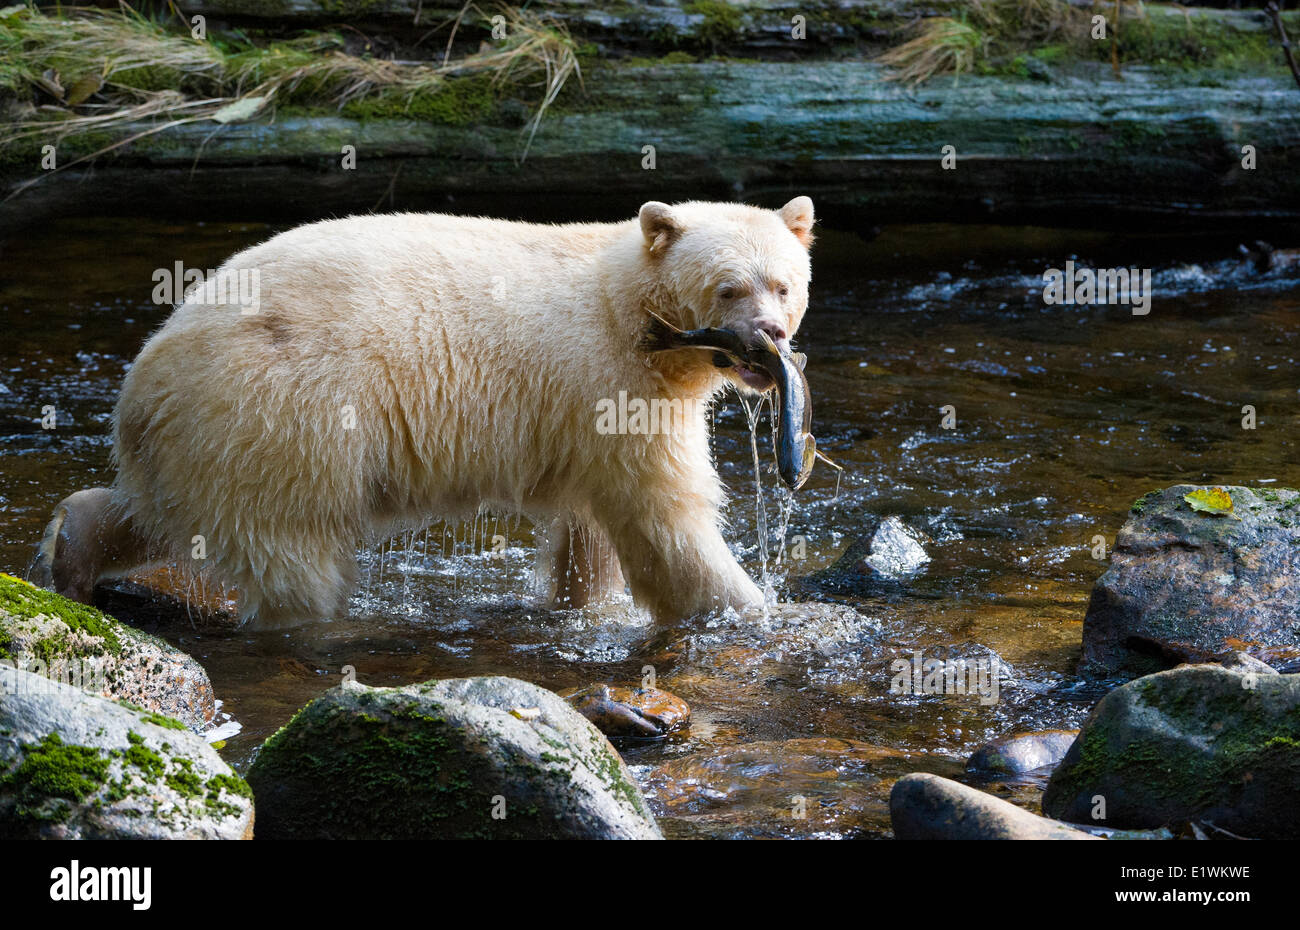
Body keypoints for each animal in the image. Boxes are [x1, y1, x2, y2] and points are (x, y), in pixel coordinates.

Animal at [30, 197, 815, 628]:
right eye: (727, 288)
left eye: (784, 284)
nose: (770, 338)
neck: (631, 314)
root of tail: (142, 380)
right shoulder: (610, 381)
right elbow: (664, 517)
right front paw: (752, 611)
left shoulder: (588, 414)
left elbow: (590, 533)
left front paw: (583, 605)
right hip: (274, 418)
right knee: (291, 555)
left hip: (202, 437)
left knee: (153, 512)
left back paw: (67, 554)